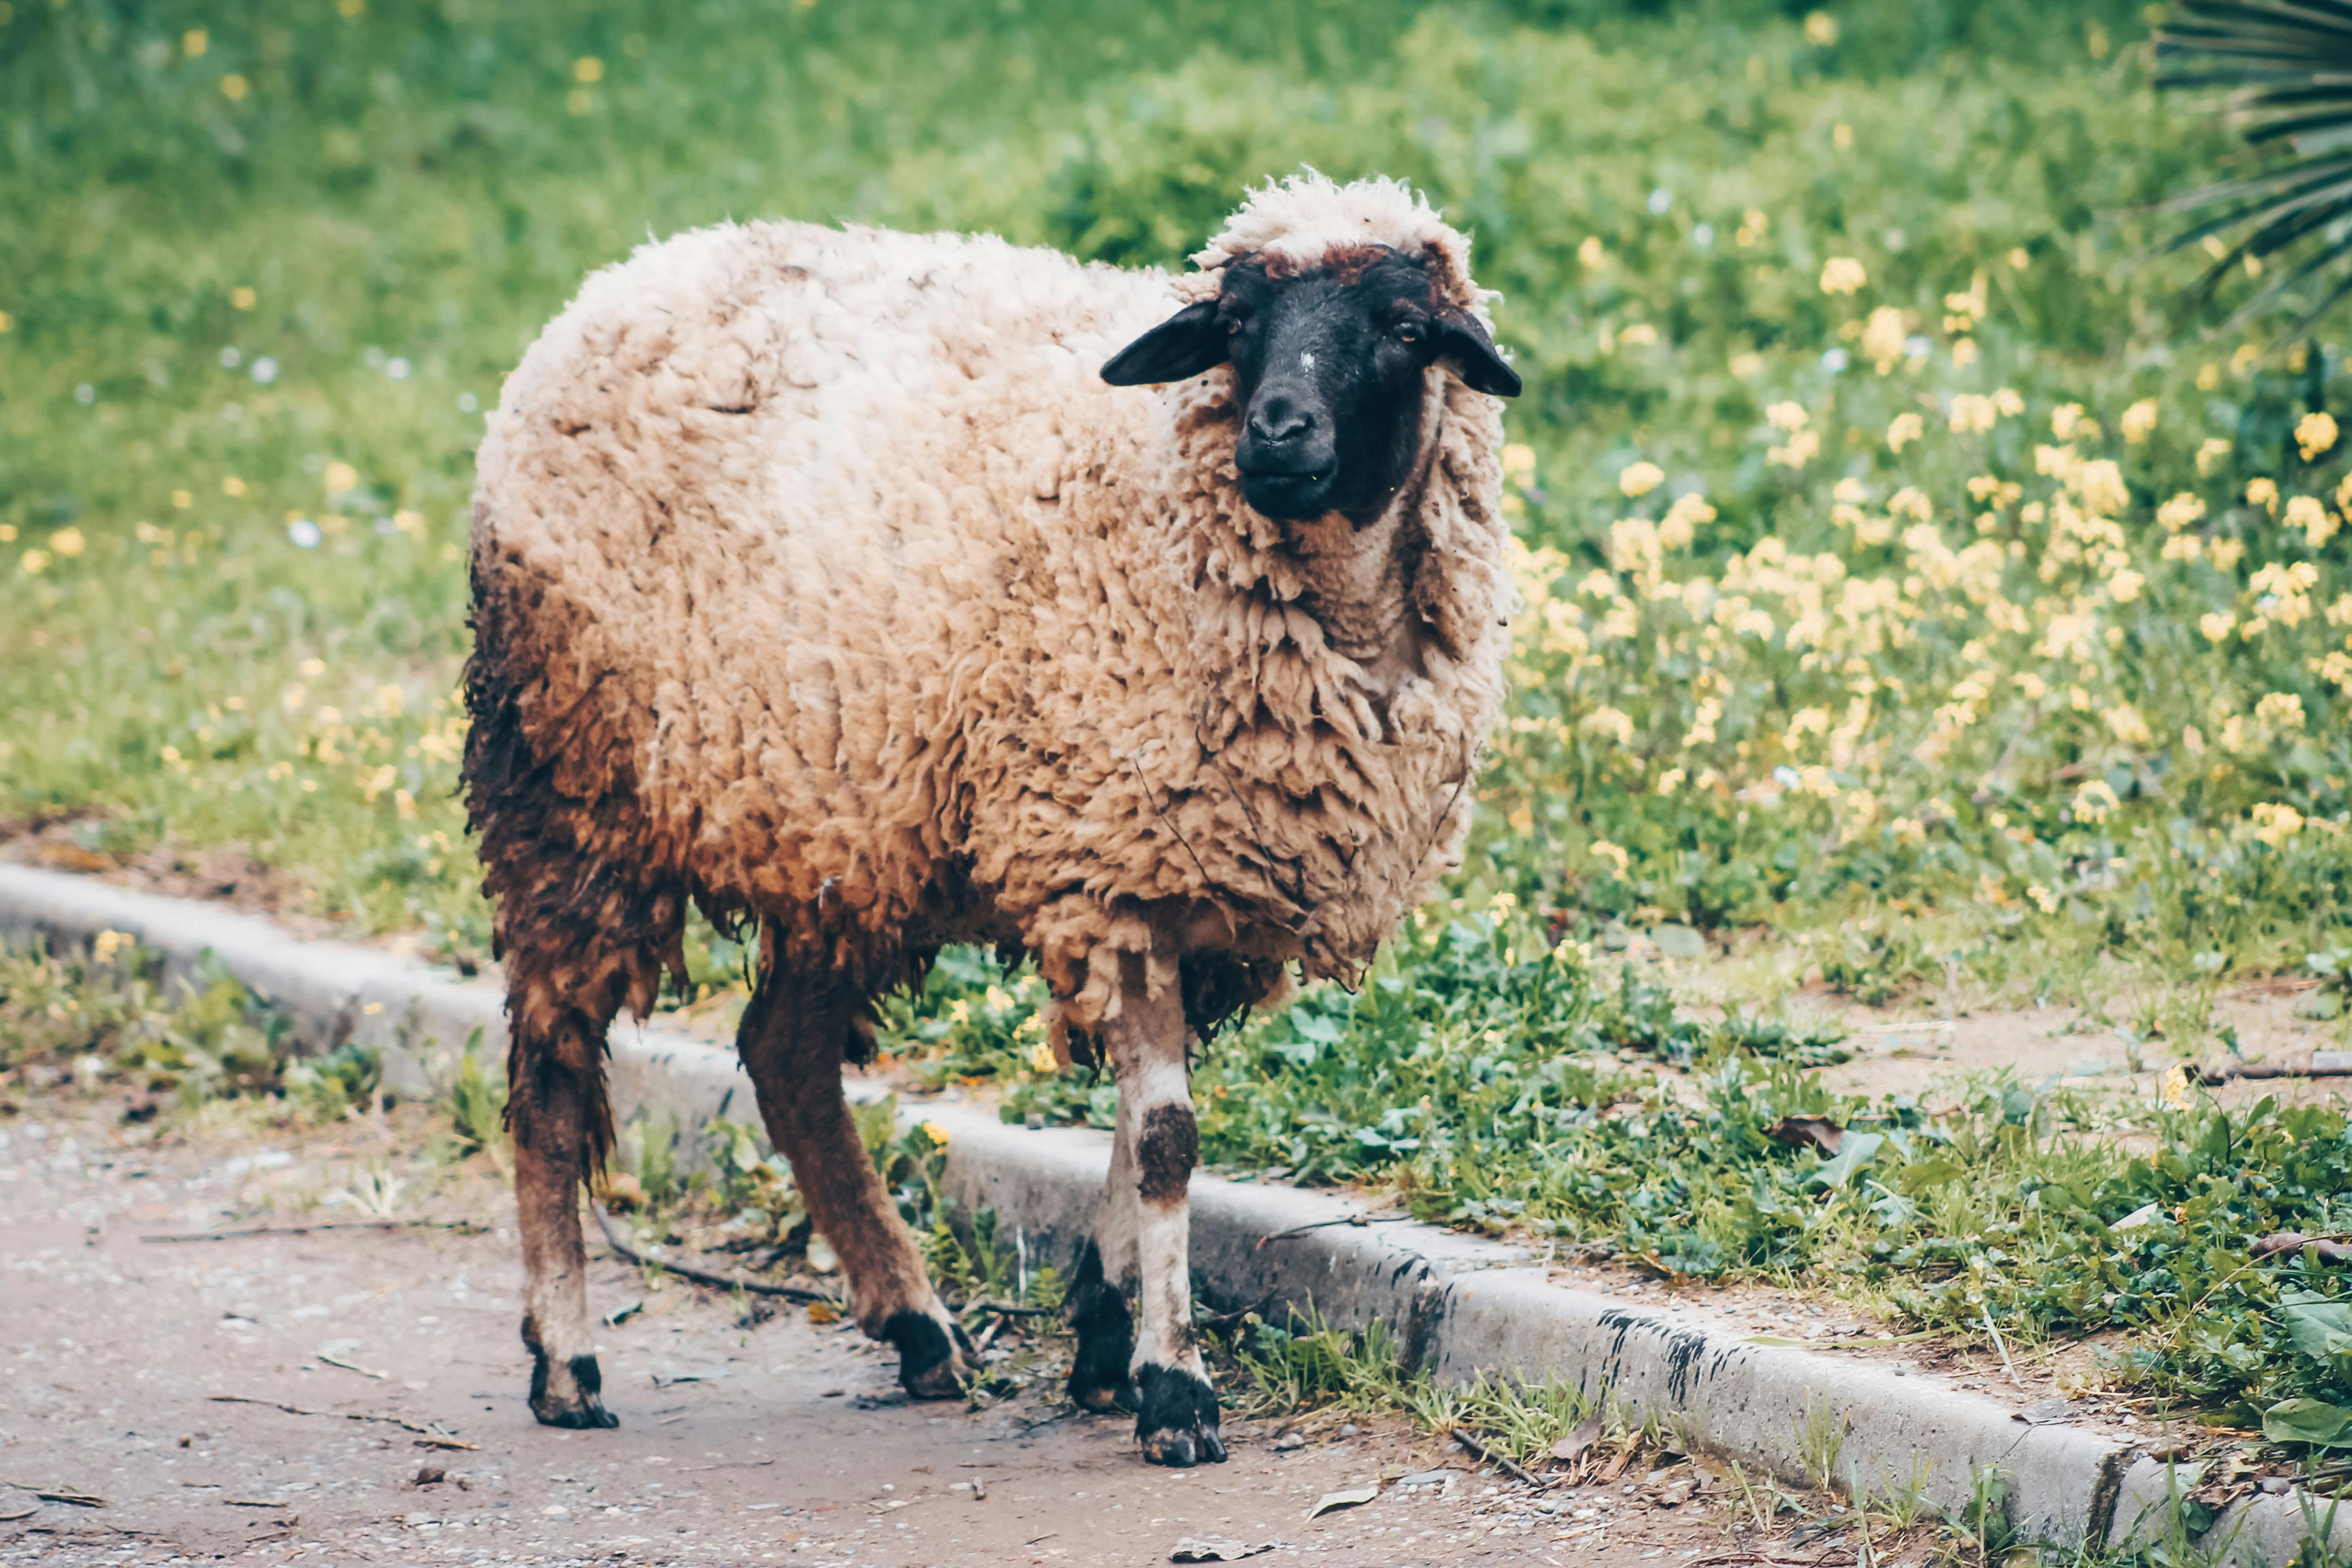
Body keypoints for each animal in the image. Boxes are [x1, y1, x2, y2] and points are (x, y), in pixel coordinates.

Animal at [462, 171, 1520, 1465]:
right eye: (1233, 324)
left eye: (1406, 328)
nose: (1276, 432)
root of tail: (613, 284)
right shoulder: (1124, 865)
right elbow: (1167, 1140)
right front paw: (1176, 1387)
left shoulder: (1186, 890)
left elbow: (1140, 1133)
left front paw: (1109, 1341)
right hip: (570, 784)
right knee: (551, 1071)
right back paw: (567, 1358)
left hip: (844, 839)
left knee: (784, 1052)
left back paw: (915, 1323)